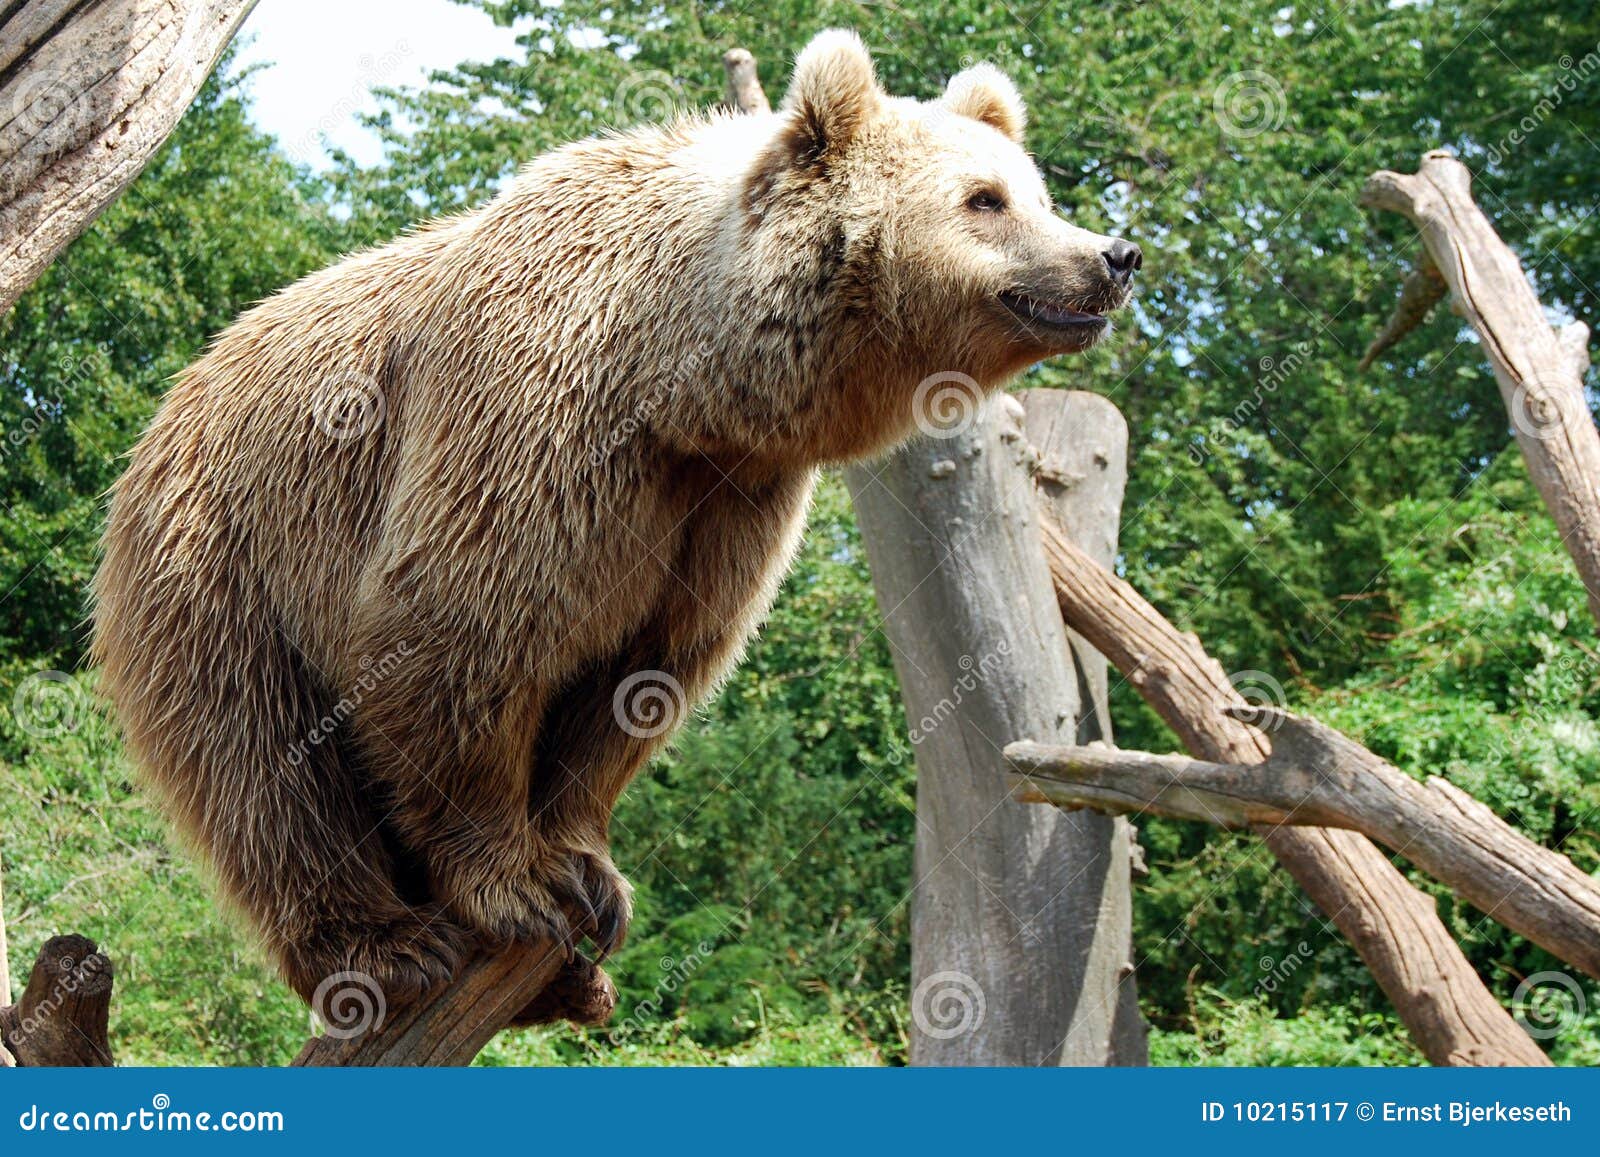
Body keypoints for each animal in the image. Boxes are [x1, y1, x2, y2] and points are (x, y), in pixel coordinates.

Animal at [90, 29, 1140, 1018]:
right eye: (985, 200)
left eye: (1035, 191)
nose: (1113, 256)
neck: (681, 379)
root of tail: (166, 413)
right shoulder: (533, 432)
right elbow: (454, 637)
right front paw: (519, 885)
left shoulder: (726, 503)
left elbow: (646, 672)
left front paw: (589, 872)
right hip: (225, 567)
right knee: (265, 771)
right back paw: (383, 945)